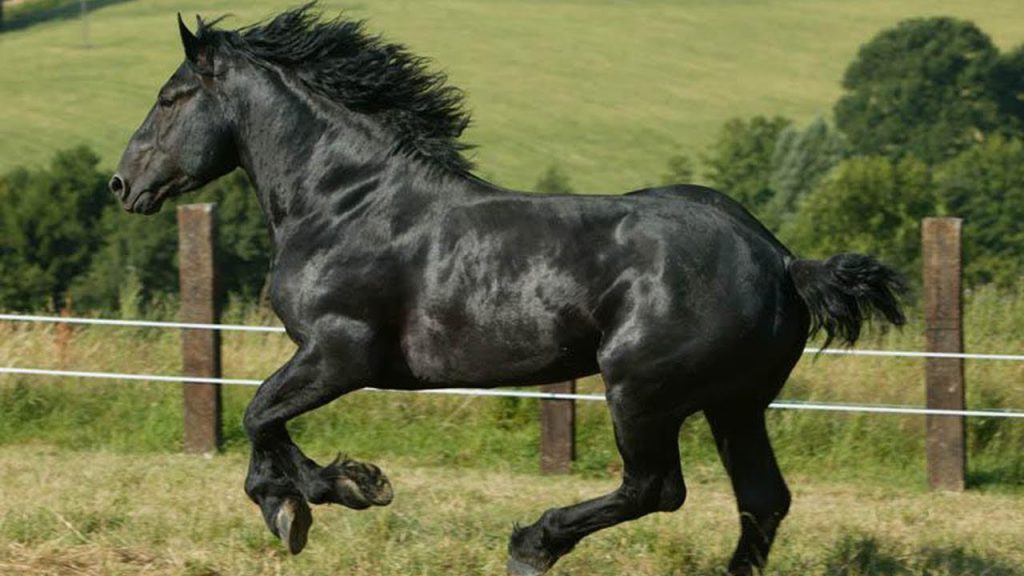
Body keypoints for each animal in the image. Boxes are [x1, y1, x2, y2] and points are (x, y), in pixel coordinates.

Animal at [110, 7, 905, 575]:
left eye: (170, 97)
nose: (122, 184)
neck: (345, 203)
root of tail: (781, 260)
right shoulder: (327, 359)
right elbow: (263, 430)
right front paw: (309, 499)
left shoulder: (341, 353)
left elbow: (258, 417)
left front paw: (336, 492)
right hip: (734, 403)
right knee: (761, 500)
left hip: (642, 391)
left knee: (656, 489)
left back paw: (534, 543)